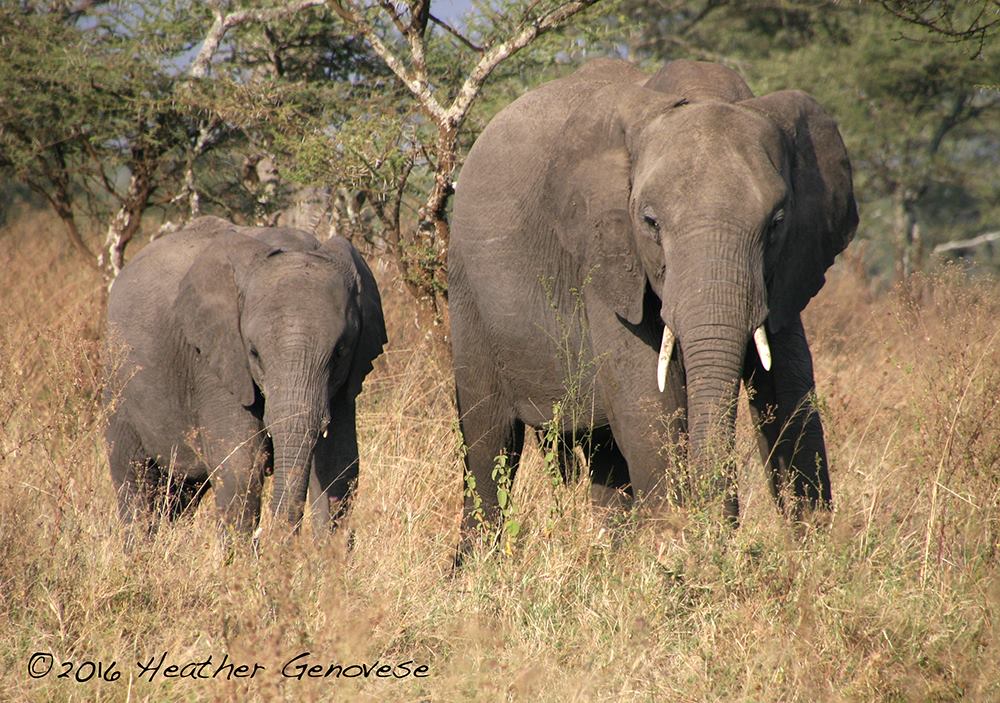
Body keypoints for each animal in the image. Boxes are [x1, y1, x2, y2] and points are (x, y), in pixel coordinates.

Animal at [102, 216, 387, 538]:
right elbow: (240, 468)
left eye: (340, 352)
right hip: (118, 383)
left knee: (181, 493)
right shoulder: (214, 362)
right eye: (253, 353)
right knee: (135, 481)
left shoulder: (345, 381)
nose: (282, 541)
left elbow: (340, 466)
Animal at [449, 58, 858, 544]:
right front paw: (677, 543)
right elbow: (644, 393)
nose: (721, 526)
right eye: (649, 222)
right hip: (468, 291)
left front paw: (814, 542)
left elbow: (792, 389)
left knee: (604, 453)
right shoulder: (605, 253)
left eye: (777, 222)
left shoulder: (788, 272)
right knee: (490, 440)